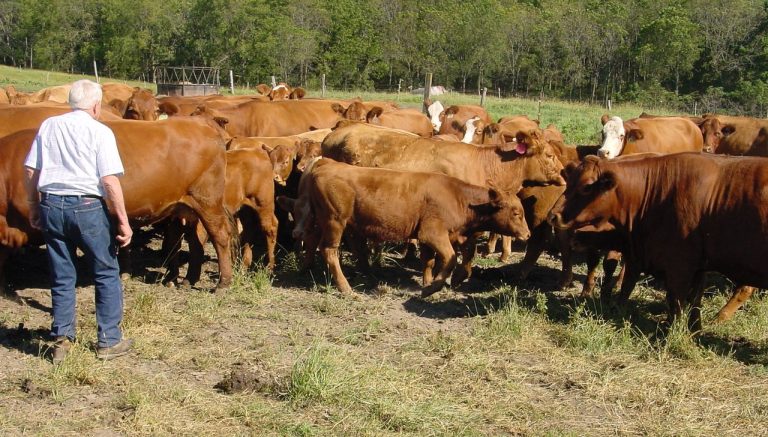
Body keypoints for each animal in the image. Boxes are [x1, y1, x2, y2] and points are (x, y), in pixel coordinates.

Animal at [0, 117, 234, 292]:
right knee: (194, 241)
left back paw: (223, 283)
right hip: (185, 207)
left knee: (220, 236)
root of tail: (201, 122)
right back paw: (184, 279)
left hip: (207, 202)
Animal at [296, 158, 530, 296]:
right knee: (329, 250)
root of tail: (326, 163)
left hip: (325, 221)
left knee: (314, 240)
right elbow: (450, 258)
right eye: (516, 213)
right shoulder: (433, 233)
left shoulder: (430, 236)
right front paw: (432, 288)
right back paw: (345, 287)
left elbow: (431, 260)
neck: (459, 197)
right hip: (335, 221)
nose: (527, 234)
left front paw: (436, 280)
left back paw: (310, 269)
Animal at [549, 153, 768, 331]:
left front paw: (673, 334)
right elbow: (691, 302)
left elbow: (676, 302)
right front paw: (694, 331)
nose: (553, 215)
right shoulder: (694, 266)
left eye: (586, 187)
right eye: (569, 182)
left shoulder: (680, 266)